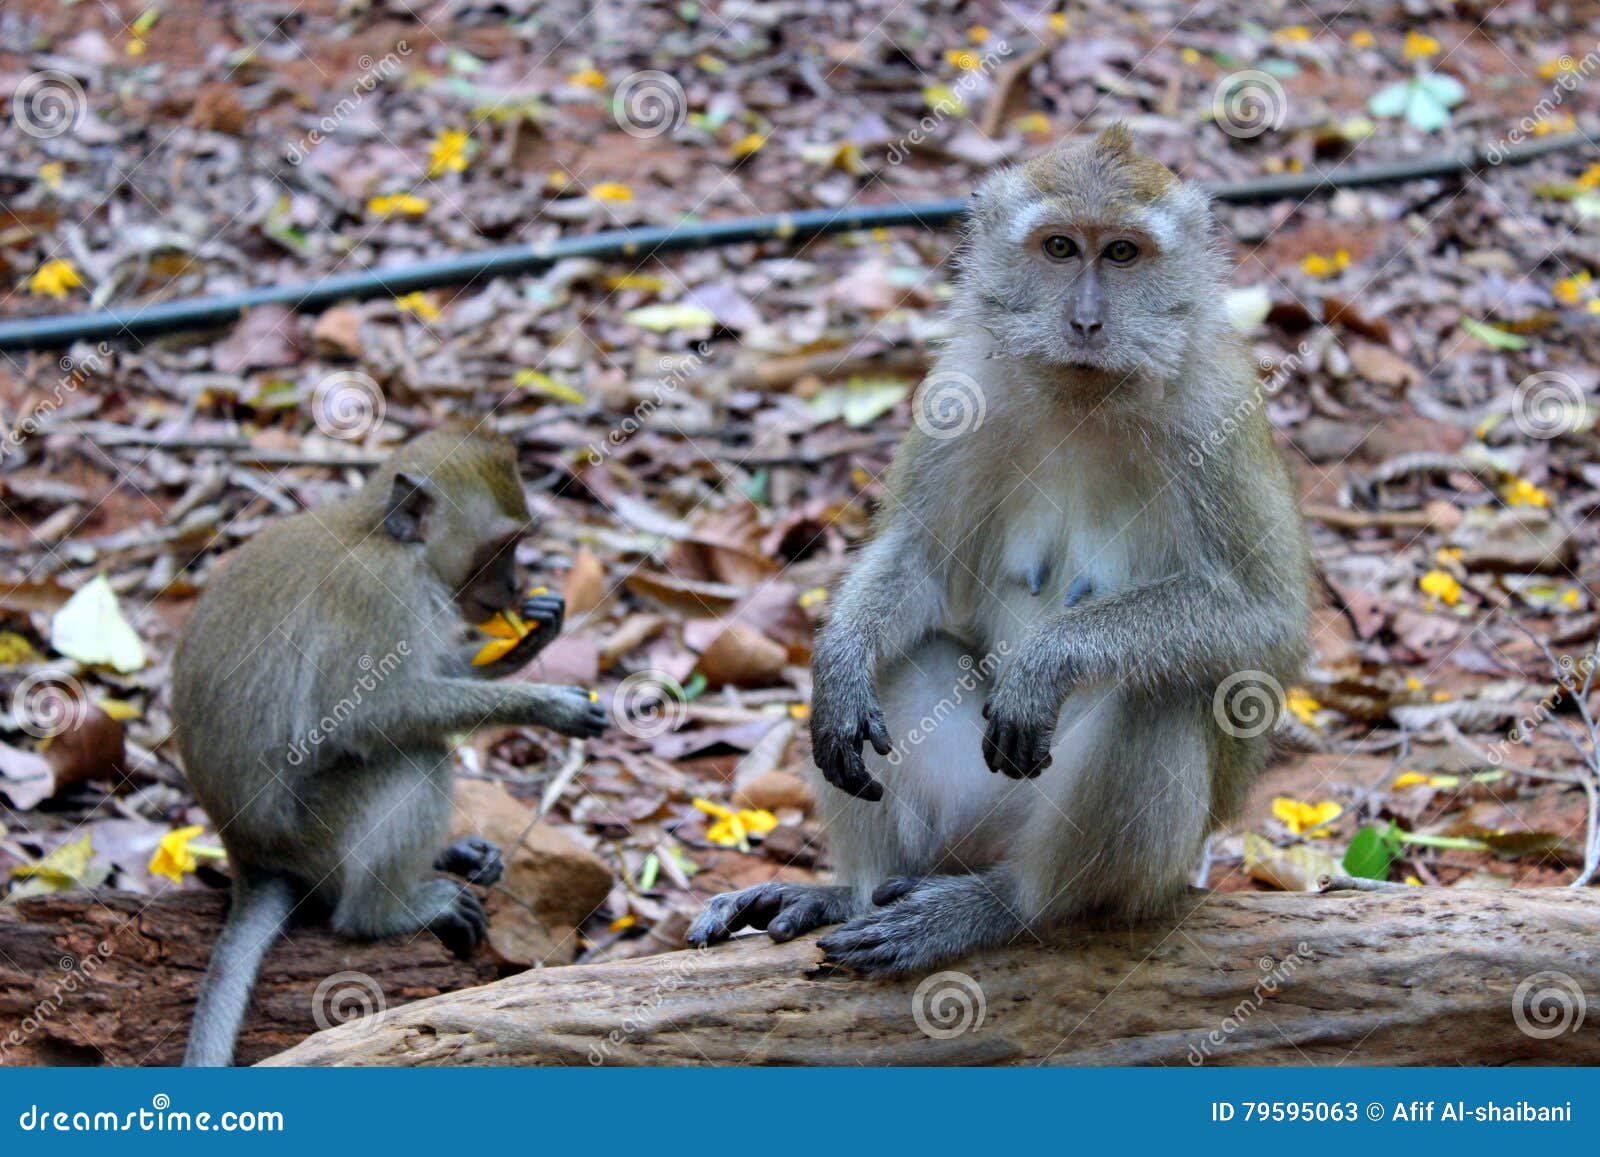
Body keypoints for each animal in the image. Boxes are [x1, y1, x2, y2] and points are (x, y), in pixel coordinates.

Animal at [173, 425, 607, 1065]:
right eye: (501, 547)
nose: (513, 586)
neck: (384, 536)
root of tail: (248, 855)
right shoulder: (378, 598)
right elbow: (364, 715)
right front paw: (546, 703)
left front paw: (526, 643)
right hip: (314, 834)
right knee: (418, 758)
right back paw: (381, 915)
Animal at [688, 125, 1310, 974]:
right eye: (1059, 248)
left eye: (1122, 253)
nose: (1086, 322)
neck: (1086, 393)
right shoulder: (962, 387)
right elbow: (916, 557)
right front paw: (840, 661)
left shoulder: (1217, 412)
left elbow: (1267, 619)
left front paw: (1050, 658)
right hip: (963, 815)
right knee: (906, 660)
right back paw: (858, 891)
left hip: (1125, 860)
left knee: (1159, 695)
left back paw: (1003, 904)